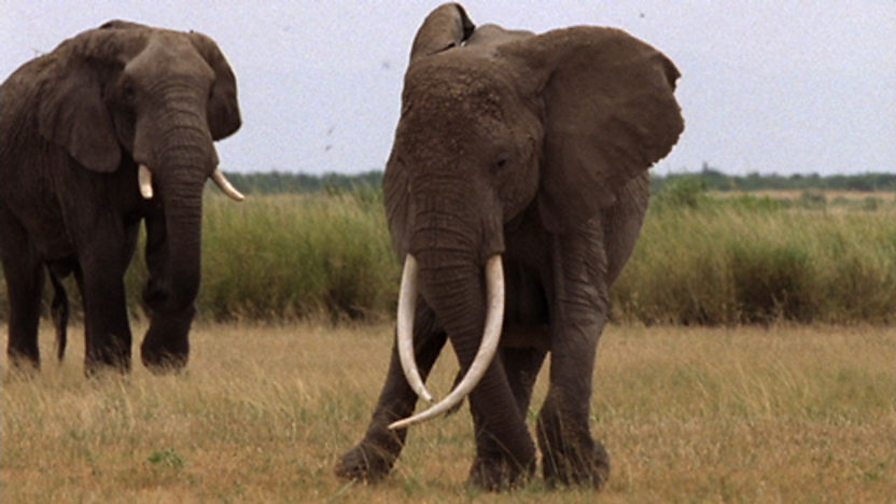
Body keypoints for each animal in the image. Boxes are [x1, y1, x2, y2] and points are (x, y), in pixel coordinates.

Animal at [0, 20, 244, 375]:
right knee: (25, 274)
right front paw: (112, 375)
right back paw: (26, 374)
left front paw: (164, 365)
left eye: (210, 91)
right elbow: (102, 240)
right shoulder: (75, 148)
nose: (153, 293)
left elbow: (164, 236)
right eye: (129, 92)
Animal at [335, 3, 684, 491]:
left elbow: (578, 304)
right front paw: (510, 476)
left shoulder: (574, 179)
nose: (602, 460)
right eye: (400, 162)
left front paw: (582, 475)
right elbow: (473, 326)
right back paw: (365, 471)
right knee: (436, 331)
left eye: (501, 162)